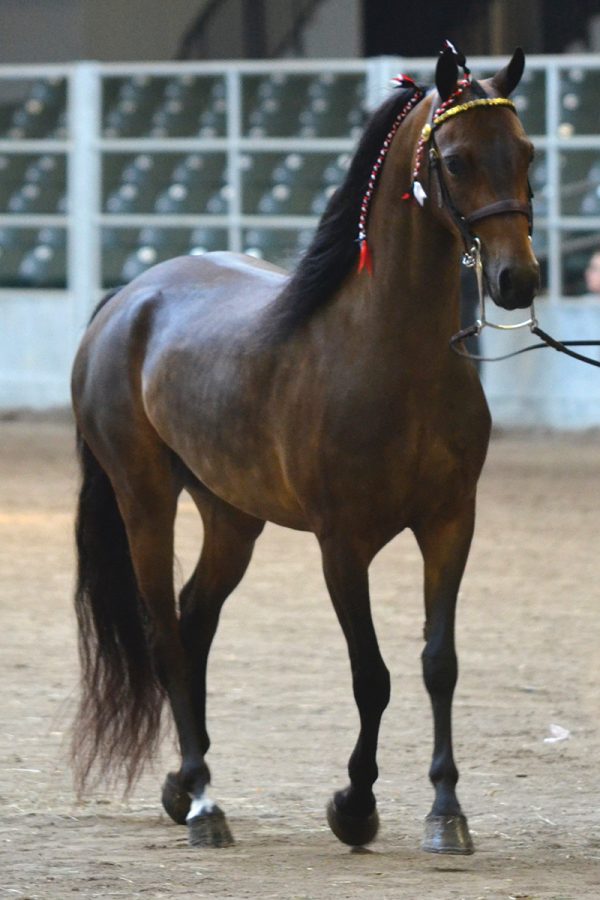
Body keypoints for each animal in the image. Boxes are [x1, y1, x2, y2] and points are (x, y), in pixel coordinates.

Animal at [71, 45, 539, 853]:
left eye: (527, 152)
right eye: (455, 159)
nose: (519, 279)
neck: (391, 355)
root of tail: (126, 300)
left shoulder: (451, 523)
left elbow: (438, 664)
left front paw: (446, 812)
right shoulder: (341, 543)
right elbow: (371, 676)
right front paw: (354, 805)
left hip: (232, 516)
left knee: (194, 620)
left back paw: (183, 784)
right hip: (144, 501)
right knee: (166, 635)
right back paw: (205, 806)